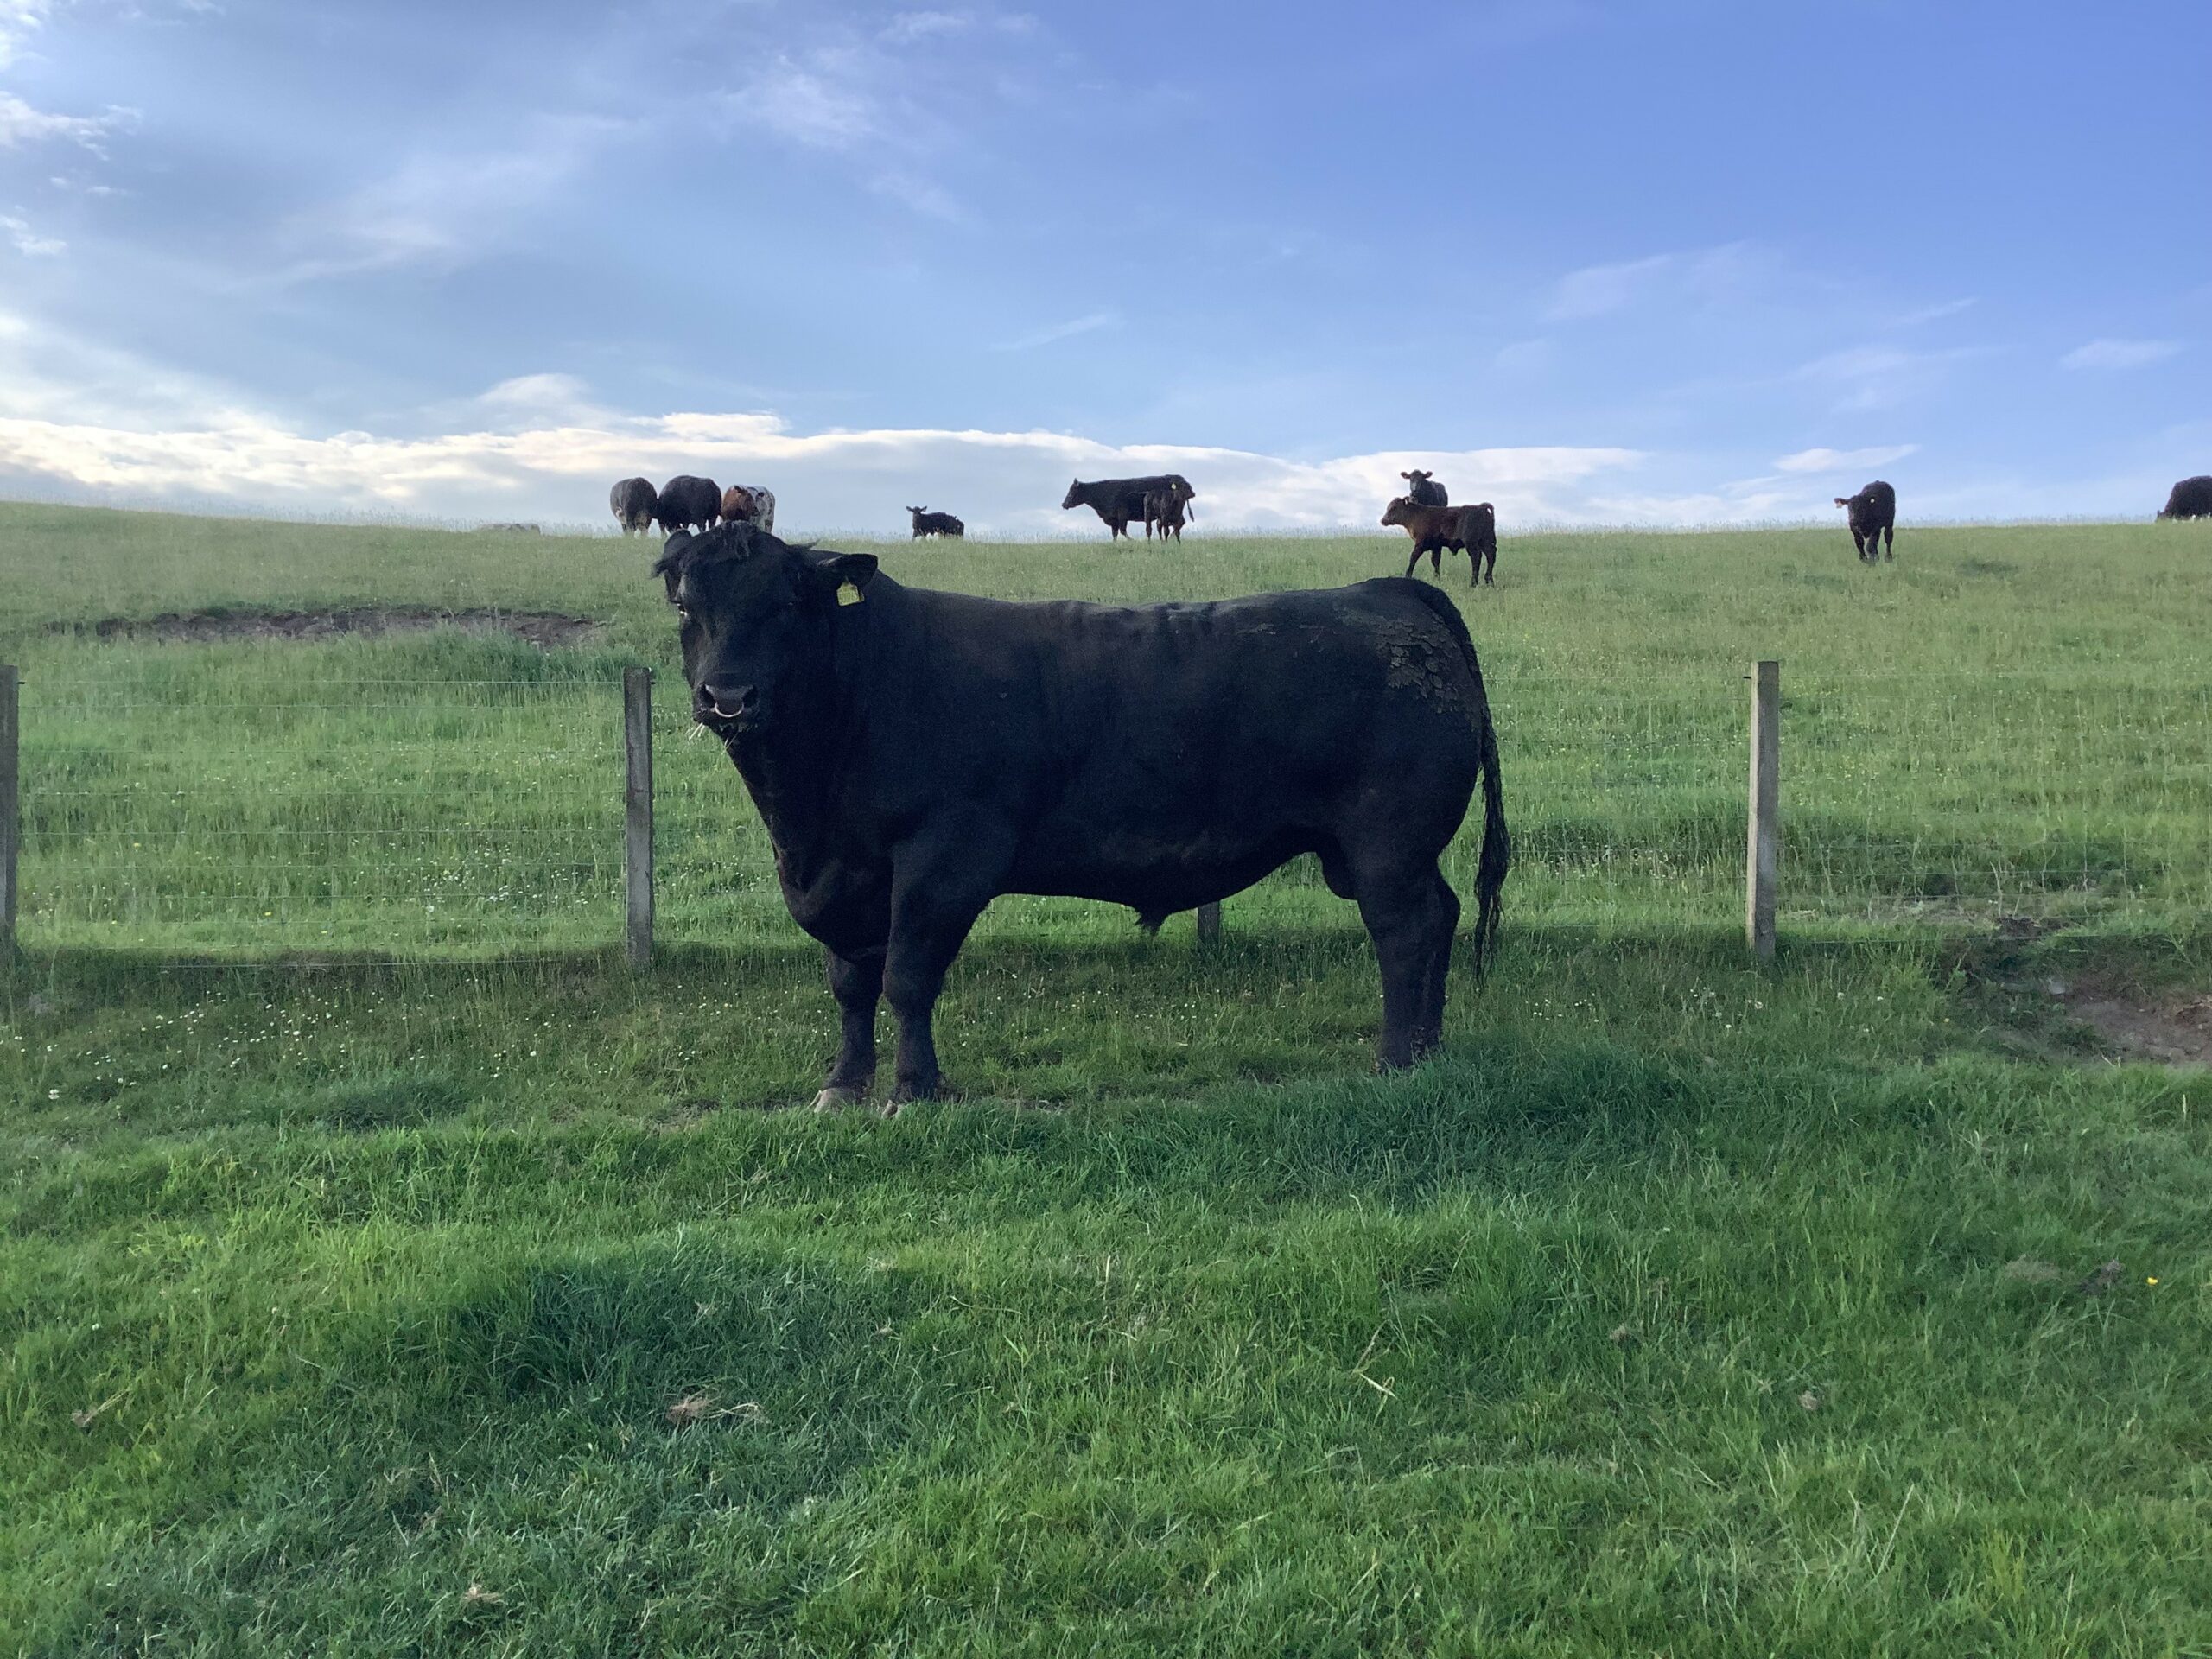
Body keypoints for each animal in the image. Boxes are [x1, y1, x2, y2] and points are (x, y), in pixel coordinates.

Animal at [654, 523, 1508, 1110]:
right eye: (687, 607)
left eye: (785, 605)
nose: (727, 697)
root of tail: (1382, 591)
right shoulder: (848, 876)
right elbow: (850, 983)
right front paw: (842, 1085)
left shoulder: (945, 857)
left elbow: (907, 977)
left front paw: (914, 1090)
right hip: (1393, 852)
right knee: (1441, 914)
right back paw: (1428, 1049)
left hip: (1385, 844)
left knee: (1404, 931)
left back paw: (1396, 1060)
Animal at [1061, 475, 1196, 540]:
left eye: (1072, 491)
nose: (1063, 504)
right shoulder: (1114, 520)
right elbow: (1115, 534)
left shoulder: (1122, 516)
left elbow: (1123, 531)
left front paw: (1134, 541)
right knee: (1179, 523)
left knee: (1179, 523)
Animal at [1382, 498, 1497, 587]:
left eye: (1394, 508)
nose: (1383, 520)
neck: (1415, 515)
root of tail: (1481, 507)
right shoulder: (1436, 546)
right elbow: (1435, 561)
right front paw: (1437, 578)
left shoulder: (1421, 543)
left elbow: (1413, 557)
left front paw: (1408, 575)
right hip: (1486, 542)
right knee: (1490, 555)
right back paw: (1489, 581)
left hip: (1471, 543)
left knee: (1476, 557)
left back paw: (1474, 583)